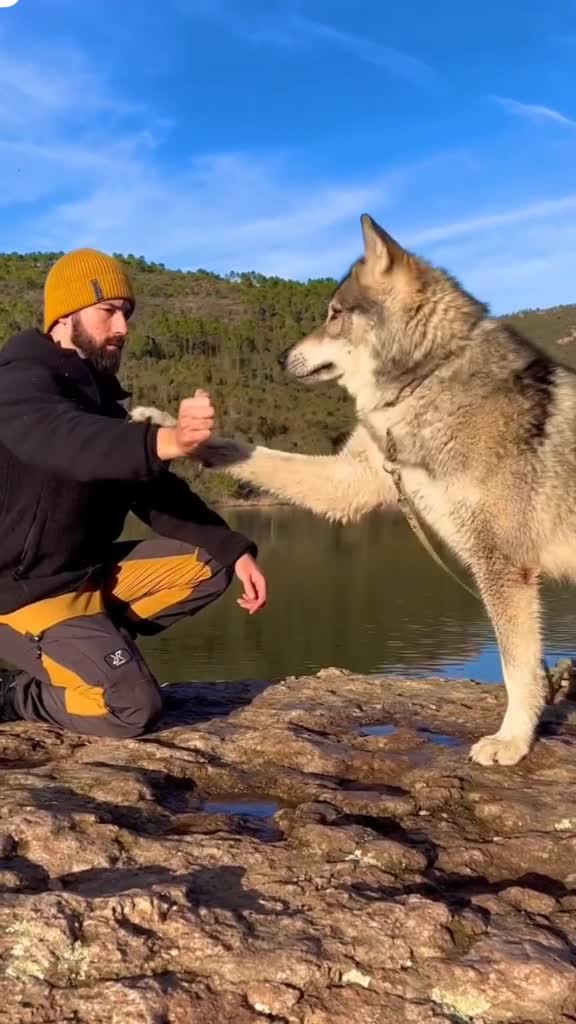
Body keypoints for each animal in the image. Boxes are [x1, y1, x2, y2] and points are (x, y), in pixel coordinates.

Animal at [133, 215, 576, 766]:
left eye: (335, 314)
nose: (281, 357)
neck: (427, 379)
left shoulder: (503, 567)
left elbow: (518, 667)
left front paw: (512, 742)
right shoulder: (351, 479)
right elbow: (250, 452)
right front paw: (166, 426)